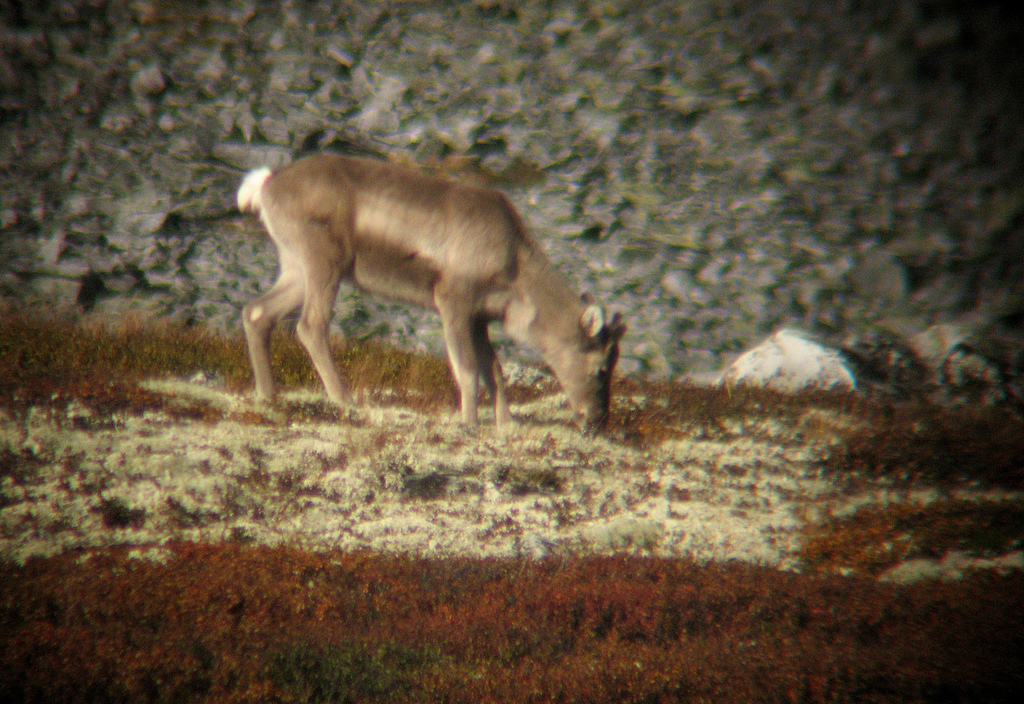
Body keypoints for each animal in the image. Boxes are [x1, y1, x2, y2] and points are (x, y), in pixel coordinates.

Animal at [236, 154, 625, 431]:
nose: (597, 421)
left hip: (295, 269)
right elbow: (466, 369)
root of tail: (266, 184)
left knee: (257, 313)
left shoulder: (480, 317)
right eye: (601, 367)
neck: (515, 268)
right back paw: (344, 399)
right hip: (325, 264)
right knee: (310, 325)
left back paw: (268, 396)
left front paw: (506, 424)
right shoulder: (453, 301)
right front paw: (469, 424)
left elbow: (494, 370)